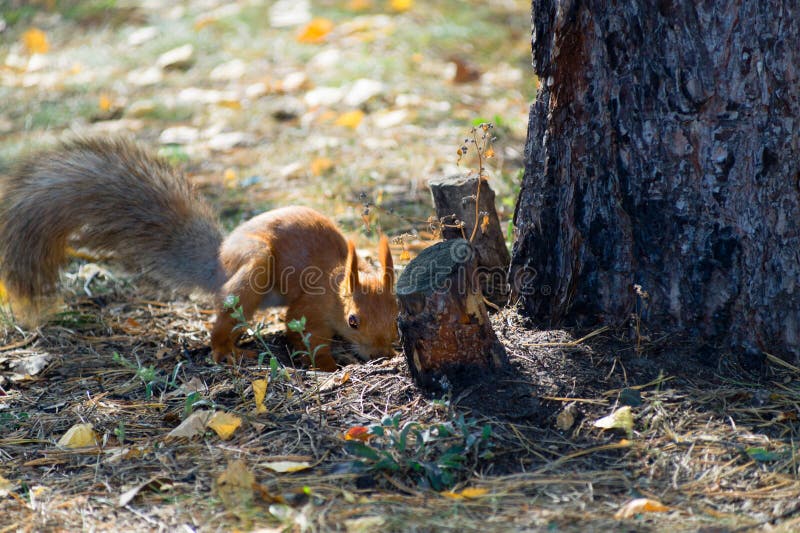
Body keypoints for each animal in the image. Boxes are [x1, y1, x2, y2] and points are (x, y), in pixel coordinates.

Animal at [0, 137, 398, 371]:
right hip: (254, 266)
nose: (383, 354)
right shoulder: (310, 306)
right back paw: (227, 351)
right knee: (223, 322)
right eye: (353, 321)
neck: (336, 281)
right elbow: (303, 335)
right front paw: (329, 366)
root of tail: (220, 261)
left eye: (398, 316)